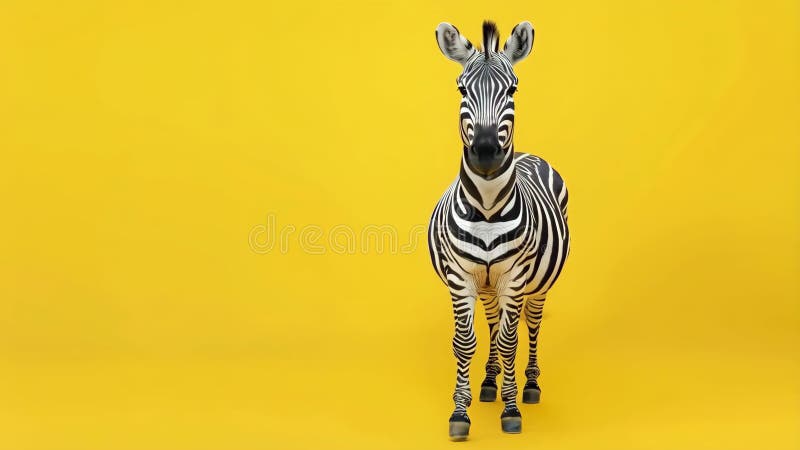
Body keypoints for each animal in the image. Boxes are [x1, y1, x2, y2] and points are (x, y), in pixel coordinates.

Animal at [428, 20, 570, 440]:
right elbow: (465, 342)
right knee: (492, 324)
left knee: (531, 326)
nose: (487, 152)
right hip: (488, 285)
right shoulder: (461, 277)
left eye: (513, 89)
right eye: (461, 88)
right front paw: (460, 413)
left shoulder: (515, 275)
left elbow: (510, 341)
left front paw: (511, 409)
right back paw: (490, 382)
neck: (489, 208)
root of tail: (527, 155)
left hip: (536, 285)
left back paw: (530, 385)